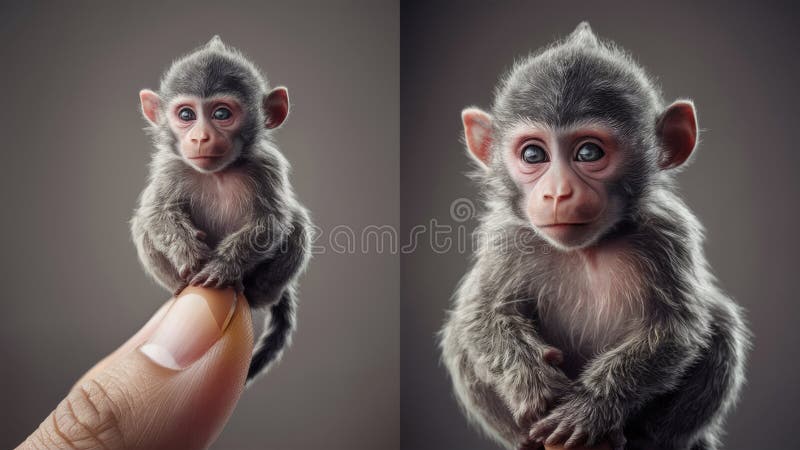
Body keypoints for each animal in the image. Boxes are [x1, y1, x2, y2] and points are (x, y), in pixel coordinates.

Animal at [130, 36, 311, 382]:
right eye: (187, 114)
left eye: (222, 113)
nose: (201, 137)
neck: (219, 173)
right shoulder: (170, 167)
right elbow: (156, 213)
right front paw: (189, 252)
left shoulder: (266, 166)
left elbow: (272, 221)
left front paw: (225, 266)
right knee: (142, 226)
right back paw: (179, 287)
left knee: (296, 226)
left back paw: (247, 289)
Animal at [440, 23, 749, 450]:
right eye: (533, 155)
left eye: (588, 153)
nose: (558, 193)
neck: (587, 250)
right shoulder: (506, 237)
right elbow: (480, 314)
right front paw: (534, 383)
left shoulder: (668, 233)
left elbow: (676, 328)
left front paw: (591, 406)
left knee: (719, 323)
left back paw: (640, 438)